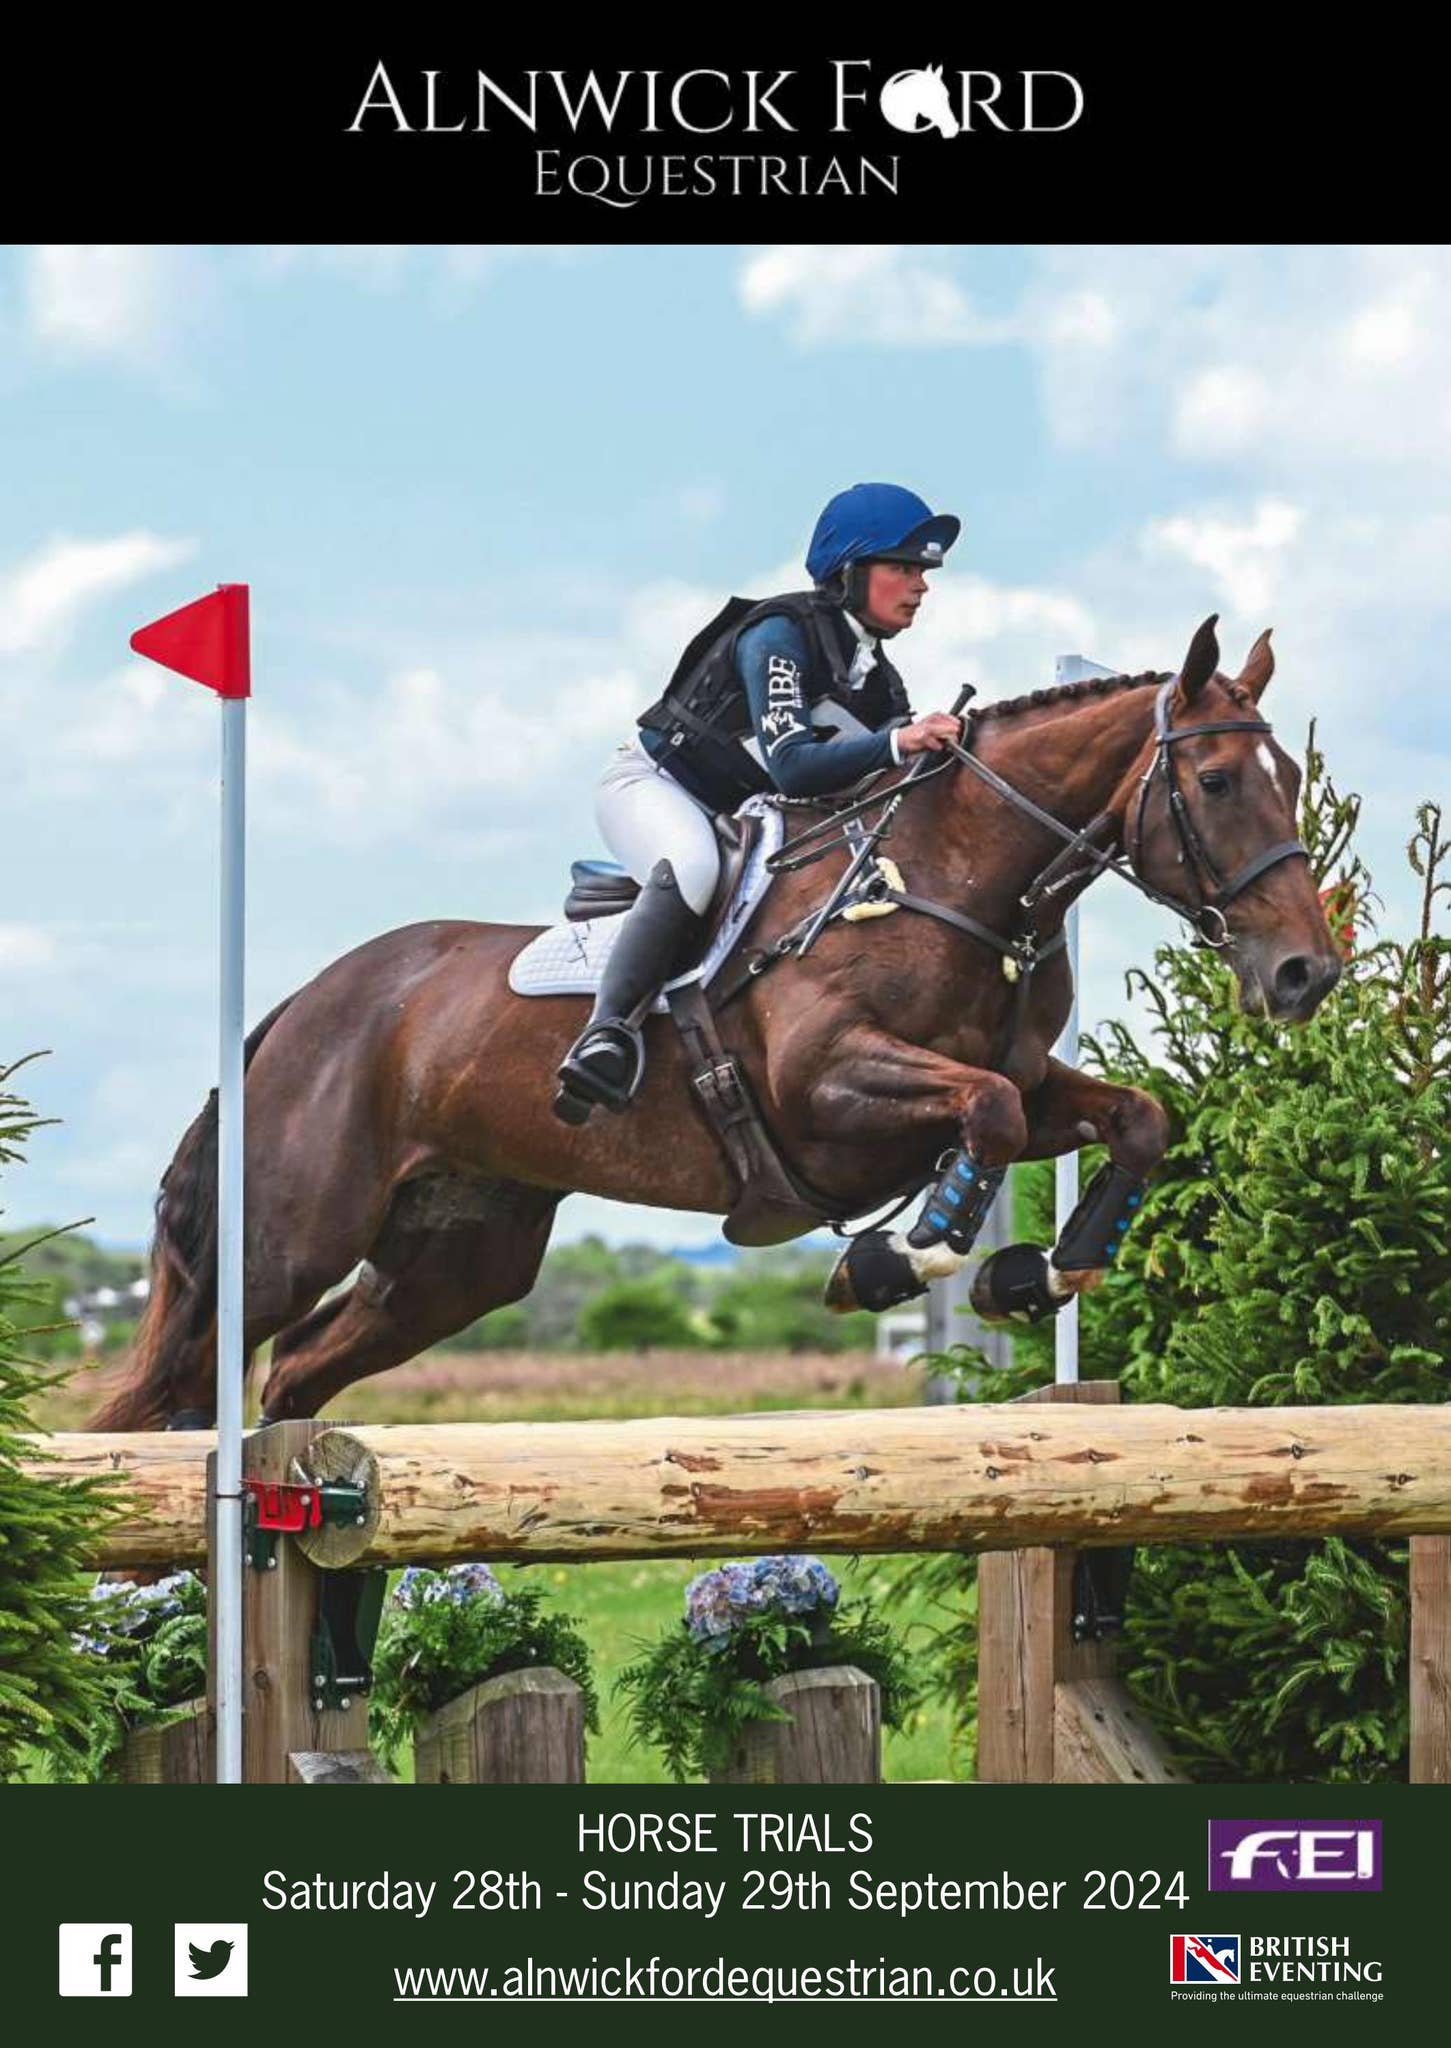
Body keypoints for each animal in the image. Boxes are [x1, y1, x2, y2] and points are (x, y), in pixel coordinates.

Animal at [92, 617, 1340, 1431]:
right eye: (1218, 782)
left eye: (1286, 774)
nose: (1302, 972)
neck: (944, 876)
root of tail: (298, 1009)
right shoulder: (828, 1092)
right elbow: (976, 1117)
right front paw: (901, 1258)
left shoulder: (1027, 1085)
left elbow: (1131, 1117)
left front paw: (1036, 1272)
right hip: (289, 1238)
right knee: (184, 1383)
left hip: (457, 1257)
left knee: (295, 1375)